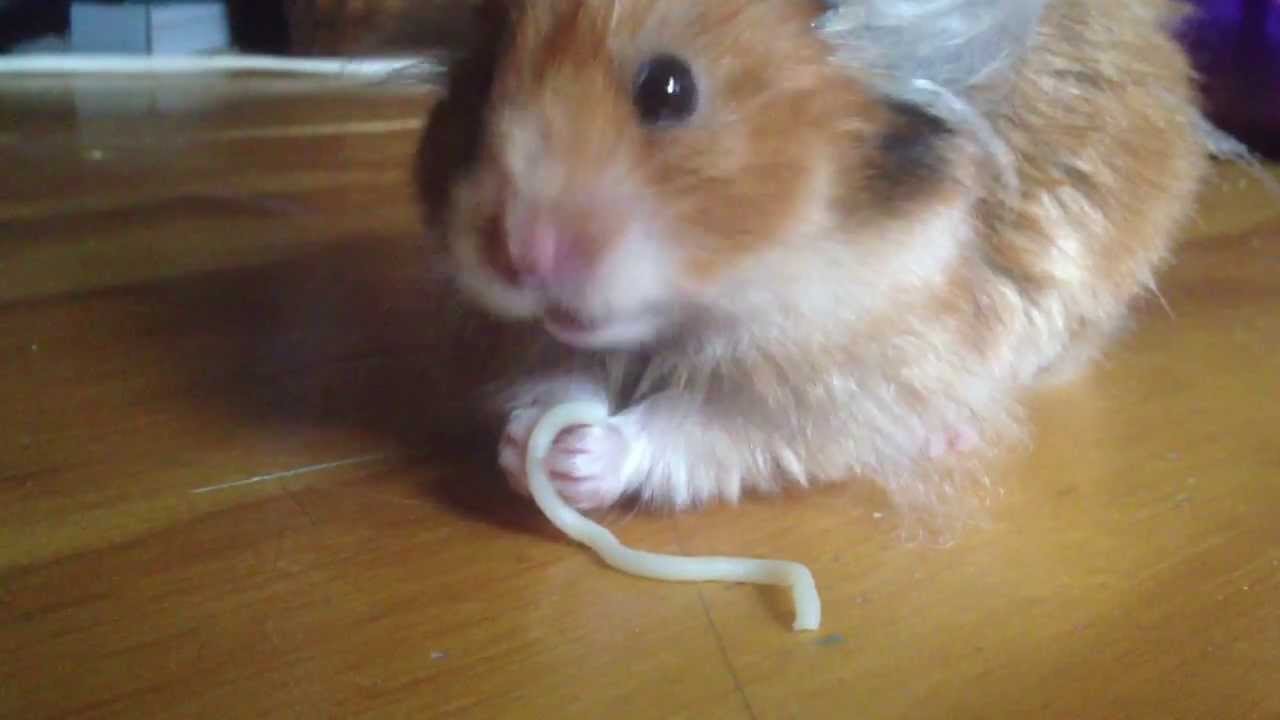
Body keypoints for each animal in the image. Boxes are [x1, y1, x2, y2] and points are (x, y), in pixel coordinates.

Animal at [412, 0, 1210, 517]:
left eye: (668, 87)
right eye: (484, 73)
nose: (512, 255)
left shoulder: (847, 383)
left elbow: (695, 427)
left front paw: (580, 458)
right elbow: (561, 373)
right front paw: (525, 449)